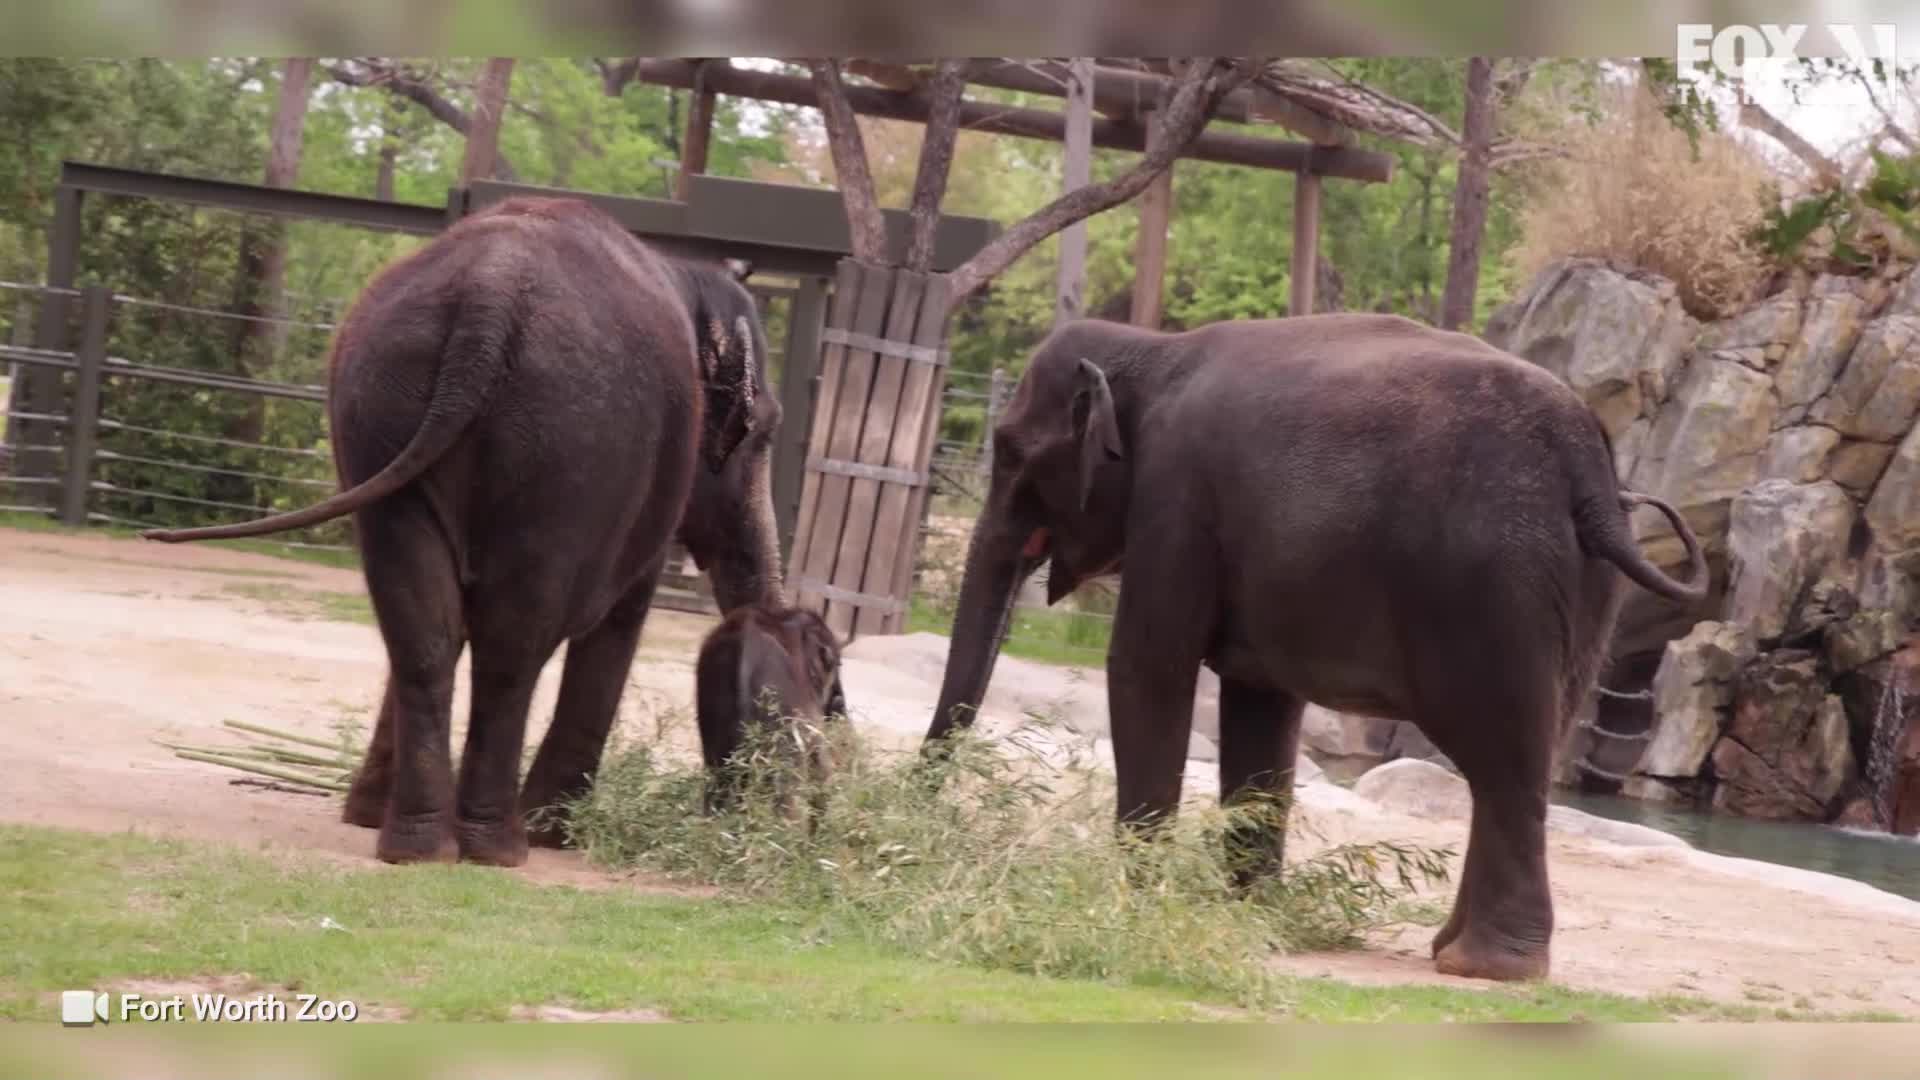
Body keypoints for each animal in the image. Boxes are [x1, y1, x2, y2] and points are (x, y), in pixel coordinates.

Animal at [140, 196, 785, 868]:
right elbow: (620, 618)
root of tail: (488, 298)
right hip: (569, 444)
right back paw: (501, 847)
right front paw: (558, 836)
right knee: (510, 644)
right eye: (763, 432)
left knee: (422, 627)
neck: (687, 272)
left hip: (386, 411)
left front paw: (366, 817)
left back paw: (414, 843)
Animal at [923, 313, 1706, 983]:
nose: (919, 816)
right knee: (1525, 753)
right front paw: (1251, 913)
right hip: (1582, 591)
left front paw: (1131, 902)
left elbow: (1150, 668)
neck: (1150, 346)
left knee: (1503, 757)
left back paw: (1484, 967)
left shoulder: (1176, 499)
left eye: (1009, 452)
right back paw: (1459, 954)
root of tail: (1591, 472)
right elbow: (1261, 706)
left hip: (1488, 584)